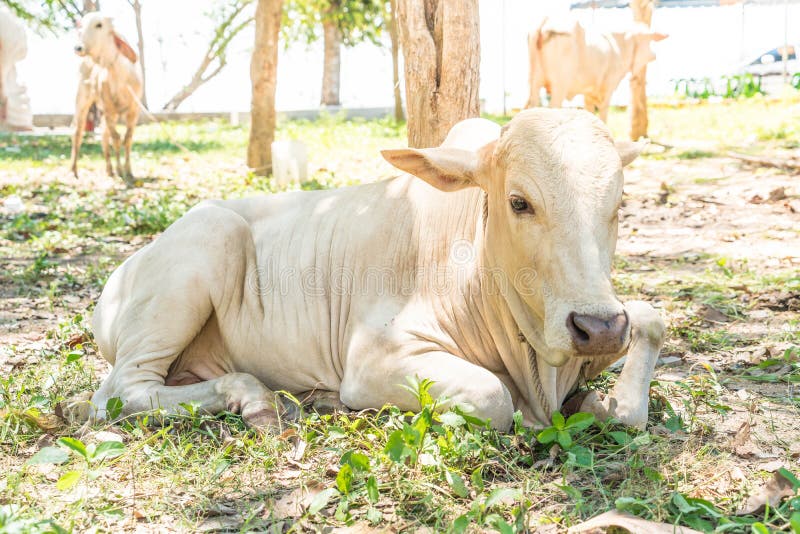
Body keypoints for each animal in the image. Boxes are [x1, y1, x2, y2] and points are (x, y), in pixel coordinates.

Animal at [62, 109, 665, 431]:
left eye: (619, 202)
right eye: (519, 202)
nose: (597, 328)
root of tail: (118, 277)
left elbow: (650, 323)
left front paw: (599, 399)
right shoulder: (375, 355)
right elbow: (494, 398)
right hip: (208, 241)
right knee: (119, 392)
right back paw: (255, 397)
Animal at [525, 16, 667, 122]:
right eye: (649, 39)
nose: (653, 55)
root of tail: (545, 22)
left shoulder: (588, 93)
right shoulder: (608, 88)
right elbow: (603, 115)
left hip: (534, 82)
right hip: (560, 85)